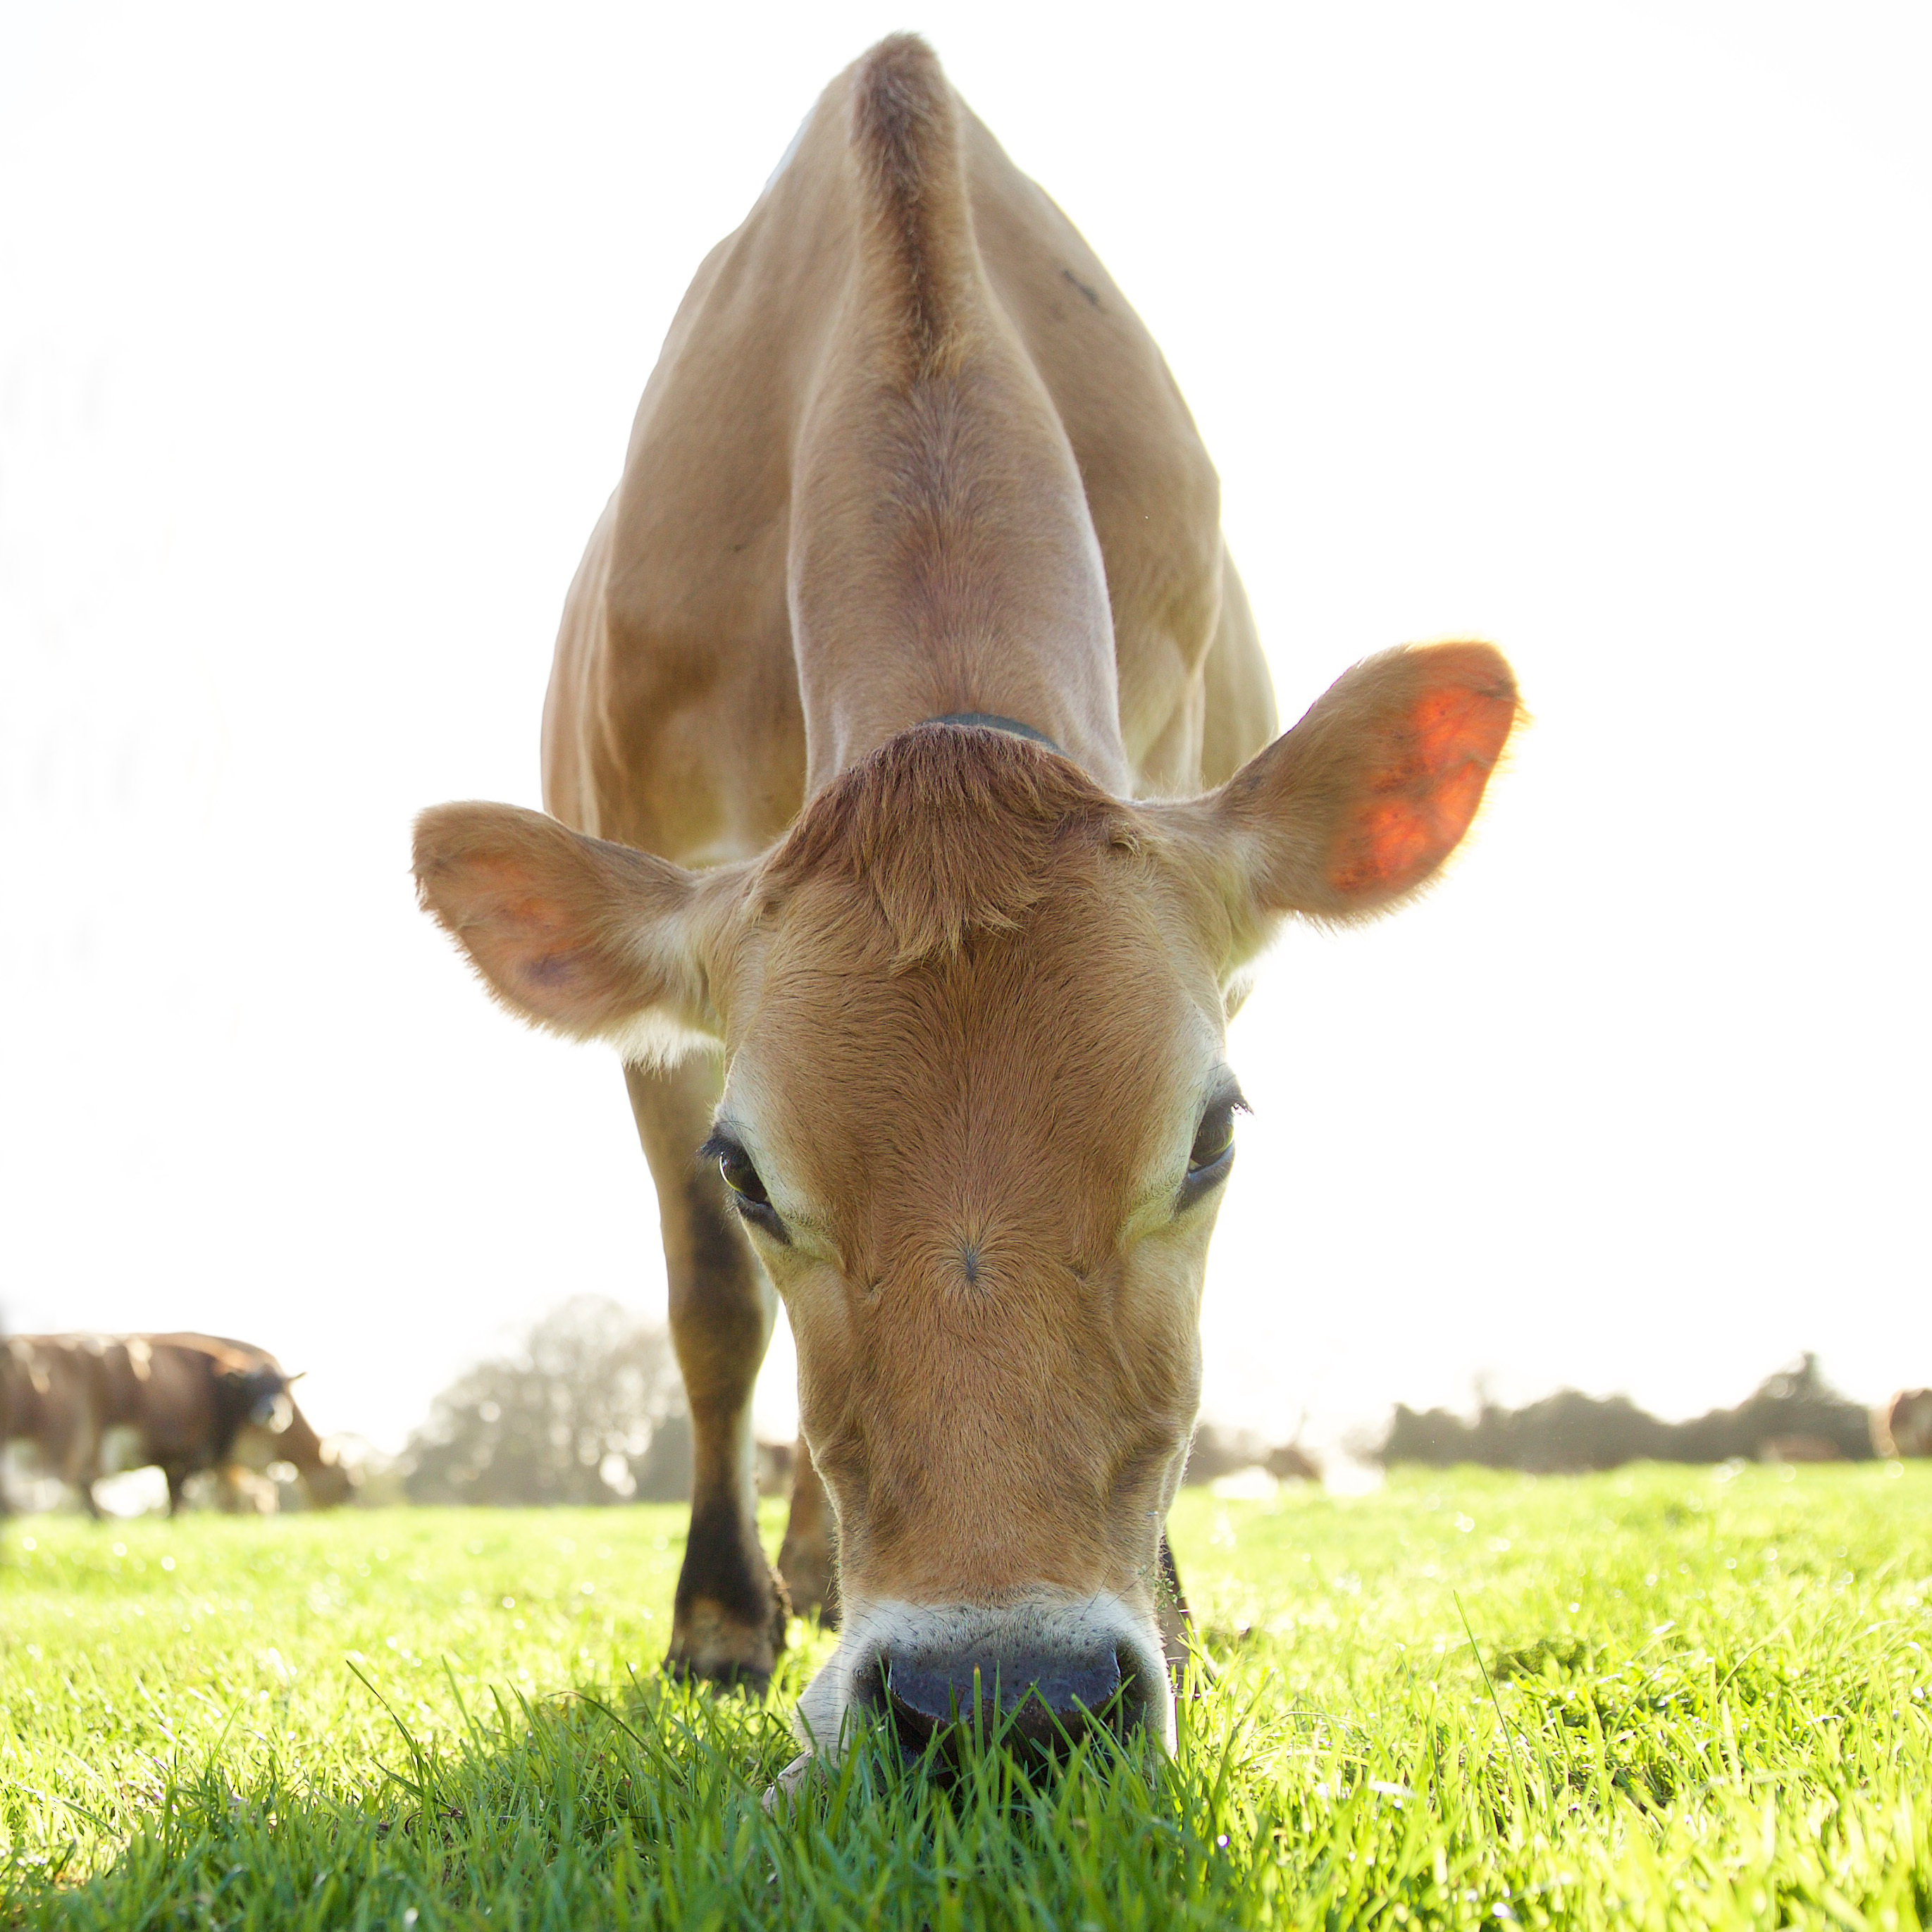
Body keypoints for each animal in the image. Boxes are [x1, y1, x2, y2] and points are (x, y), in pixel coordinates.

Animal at [413, 36, 1519, 1767]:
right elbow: (713, 1314)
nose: (1003, 1700)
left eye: (1211, 1137)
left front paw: (1176, 1614)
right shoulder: (663, 983)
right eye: (747, 1172)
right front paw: (719, 1620)